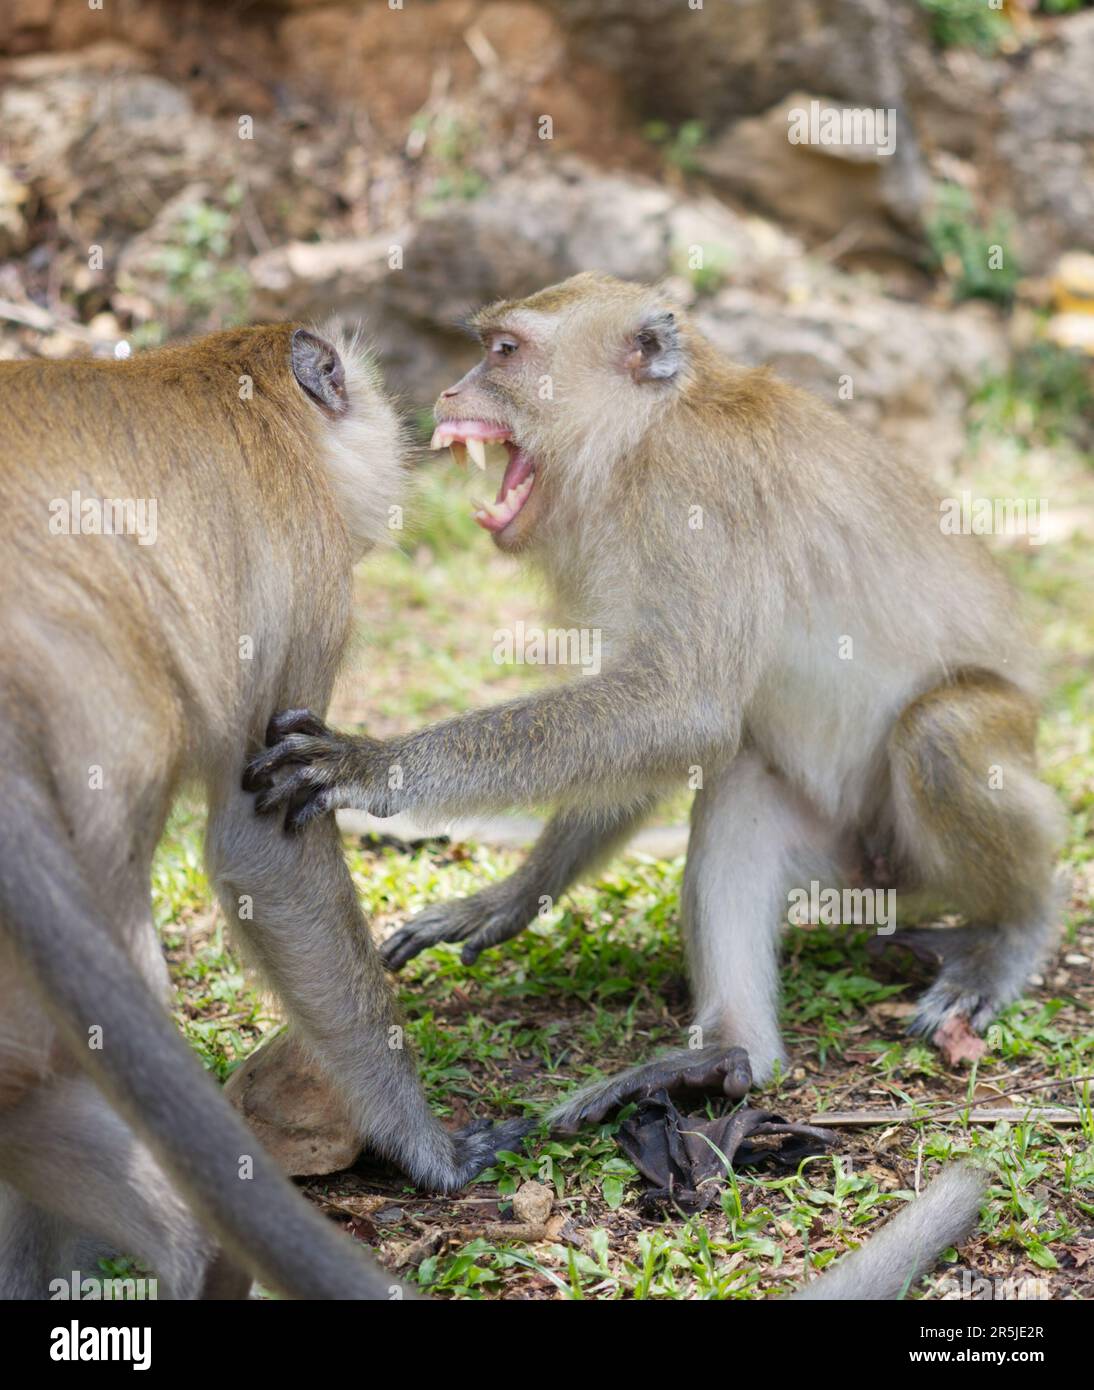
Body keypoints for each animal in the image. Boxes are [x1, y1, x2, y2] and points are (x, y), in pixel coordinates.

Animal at [244, 272, 1061, 1295]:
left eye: (503, 351)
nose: (448, 392)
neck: (646, 434)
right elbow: (666, 735)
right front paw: (511, 895)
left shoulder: (694, 498)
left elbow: (680, 707)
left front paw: (372, 764)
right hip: (846, 856)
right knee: (744, 785)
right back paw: (721, 1061)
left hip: (928, 834)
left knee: (941, 734)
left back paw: (1015, 933)